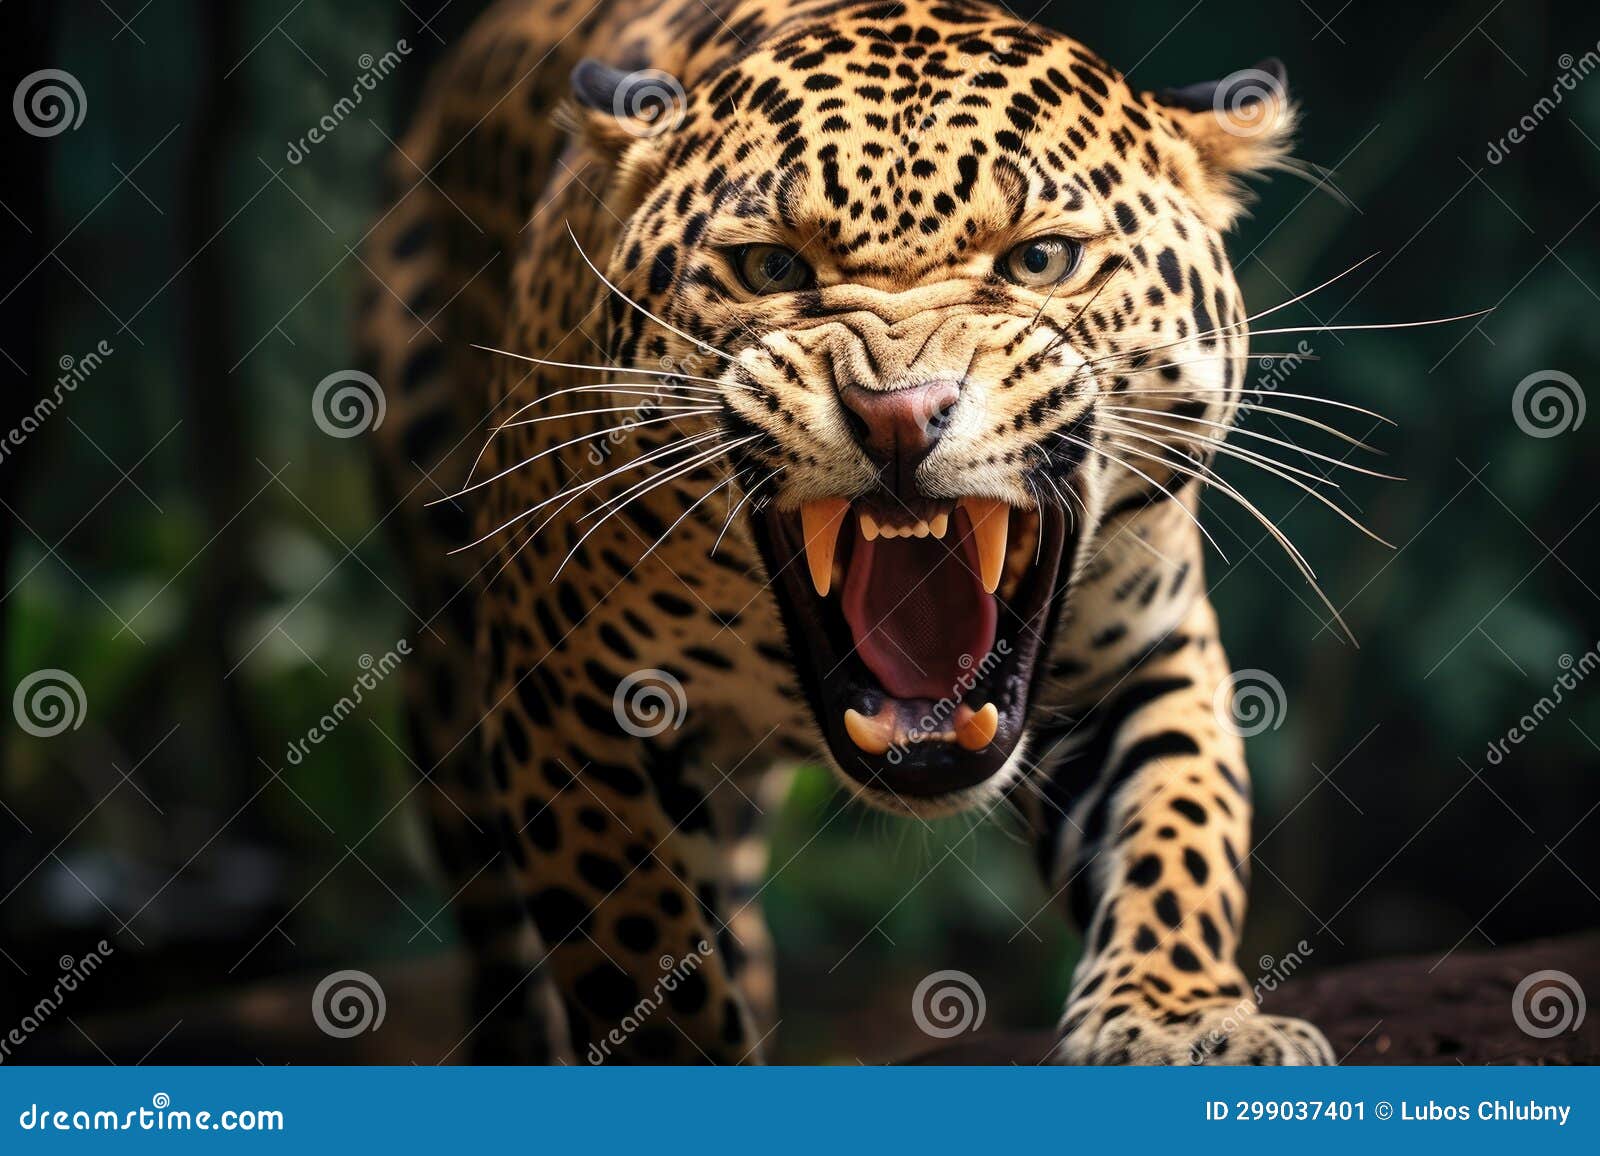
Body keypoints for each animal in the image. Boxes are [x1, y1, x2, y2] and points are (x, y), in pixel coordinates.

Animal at [356, 0, 1343, 1065]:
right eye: (770, 267)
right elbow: (637, 938)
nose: (900, 414)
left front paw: (1182, 1022)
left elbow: (1179, 833)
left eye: (1041, 259)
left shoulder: (1143, 655)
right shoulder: (562, 701)